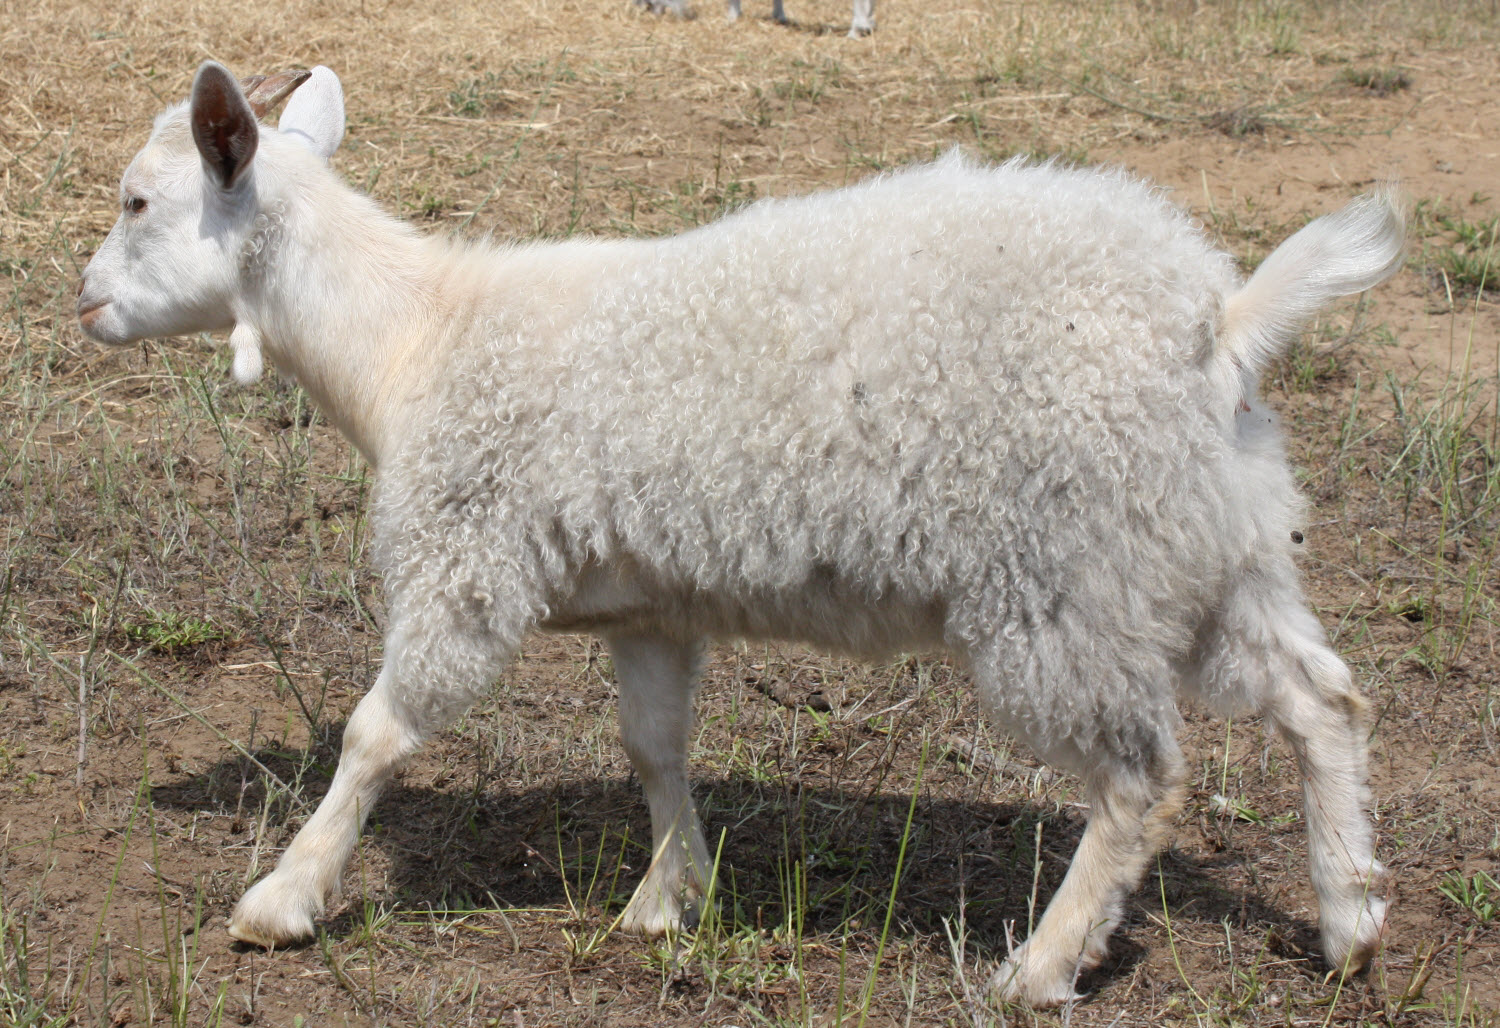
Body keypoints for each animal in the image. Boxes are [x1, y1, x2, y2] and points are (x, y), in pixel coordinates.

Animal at [77, 61, 1402, 1006]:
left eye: (141, 202)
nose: (82, 301)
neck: (417, 341)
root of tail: (1221, 319)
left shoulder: (467, 558)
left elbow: (375, 734)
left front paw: (284, 893)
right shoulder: (651, 604)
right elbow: (655, 747)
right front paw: (671, 896)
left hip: (1075, 572)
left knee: (1140, 779)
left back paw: (1039, 965)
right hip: (1210, 544)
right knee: (1324, 697)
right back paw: (1350, 918)